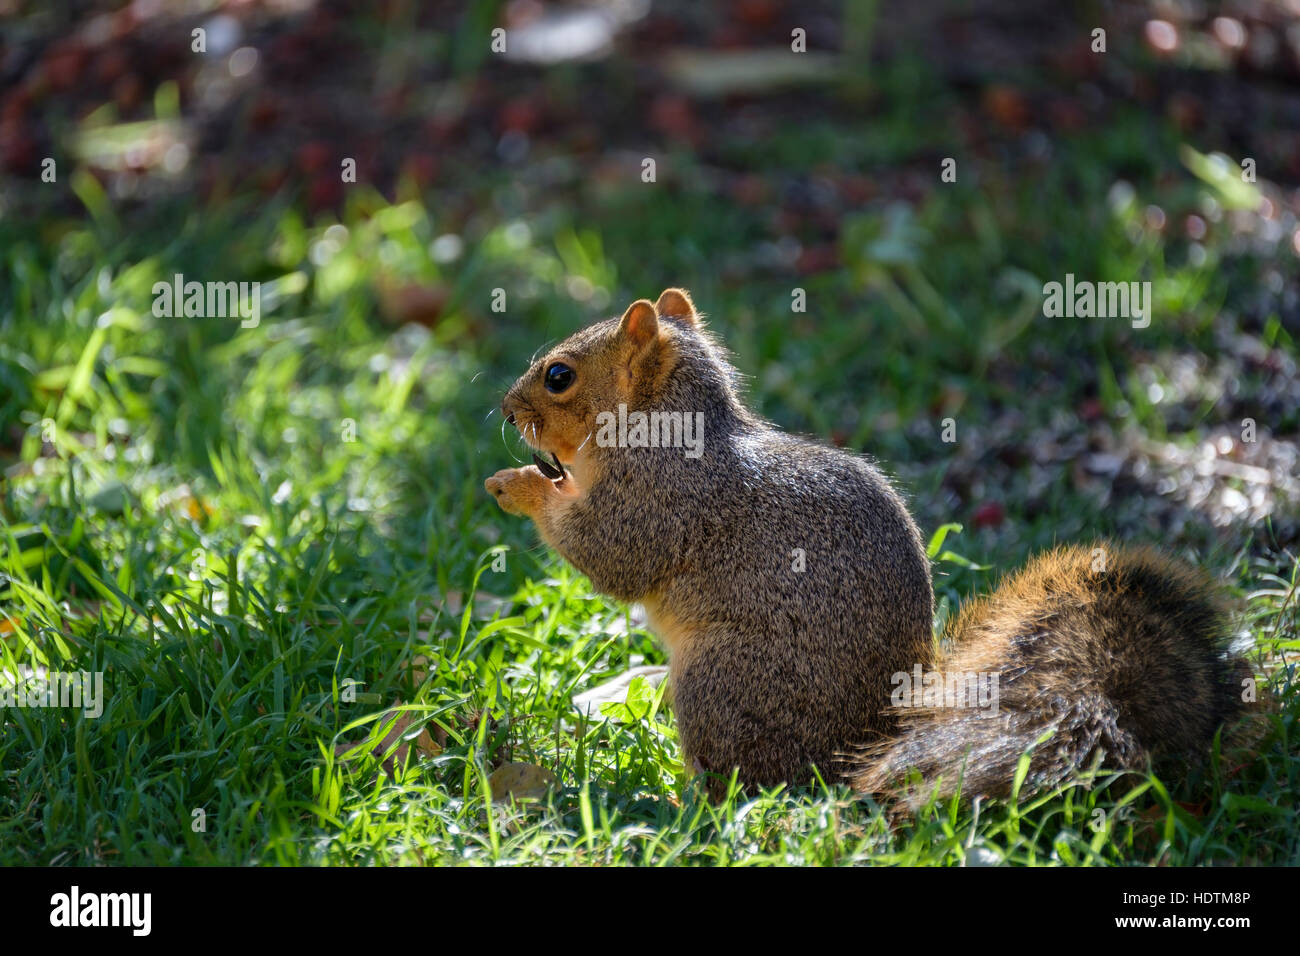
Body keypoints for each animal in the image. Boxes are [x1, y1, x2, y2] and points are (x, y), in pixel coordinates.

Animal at [485, 288, 1249, 808]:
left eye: (559, 376)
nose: (505, 409)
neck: (666, 430)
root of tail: (869, 740)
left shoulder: (659, 502)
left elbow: (611, 555)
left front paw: (520, 485)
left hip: (721, 684)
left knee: (748, 779)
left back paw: (676, 798)